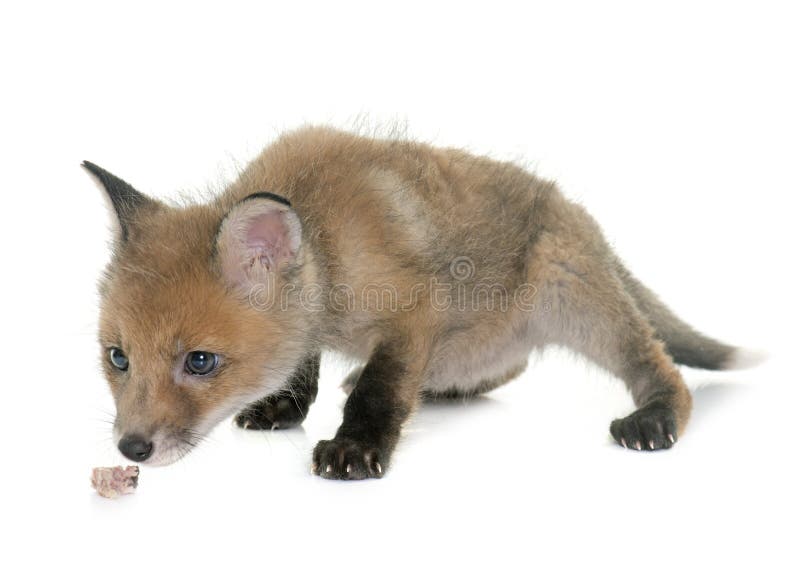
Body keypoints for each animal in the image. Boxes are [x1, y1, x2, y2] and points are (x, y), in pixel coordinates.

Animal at [85, 126, 760, 479]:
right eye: (118, 359)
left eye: (199, 362)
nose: (131, 450)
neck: (326, 234)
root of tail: (580, 216)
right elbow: (308, 362)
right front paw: (286, 404)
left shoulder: (413, 308)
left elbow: (379, 388)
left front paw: (355, 448)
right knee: (505, 367)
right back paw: (442, 388)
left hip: (577, 299)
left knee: (661, 366)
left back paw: (656, 416)